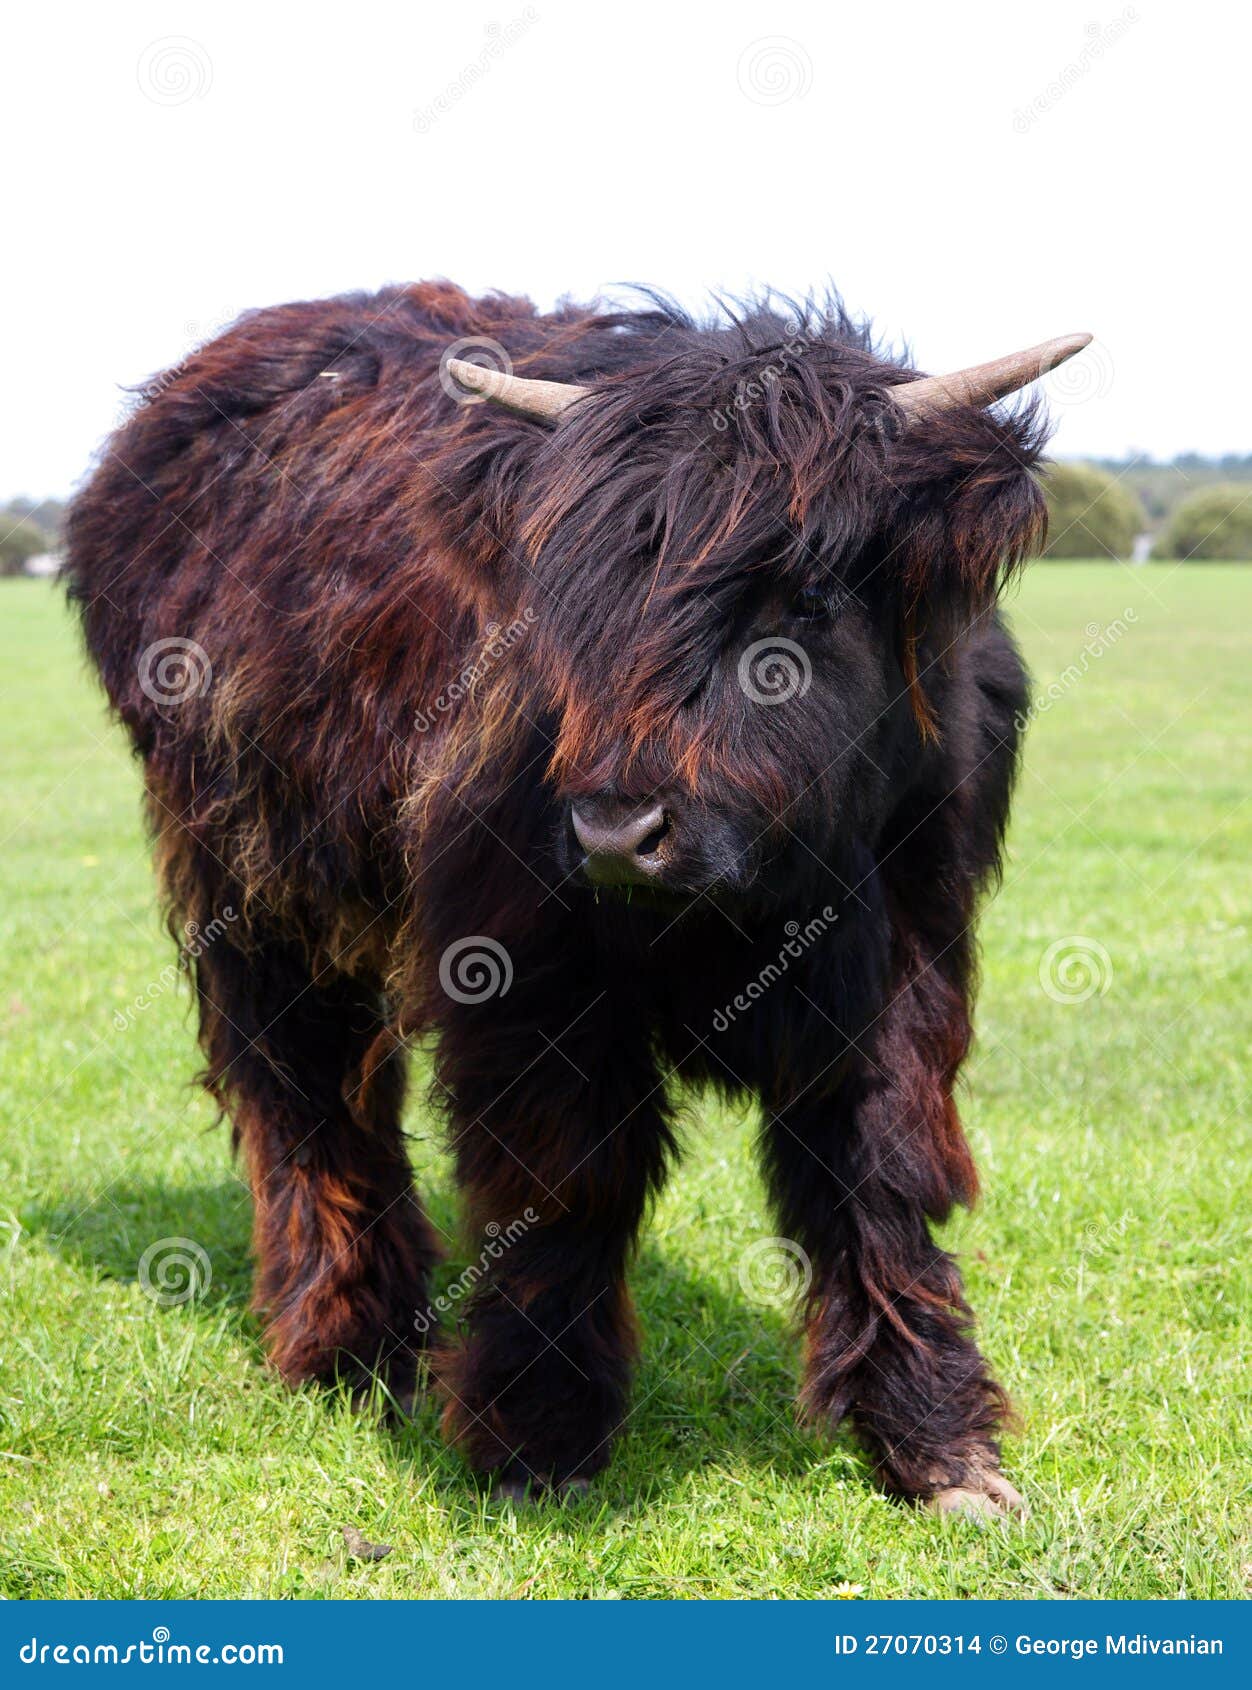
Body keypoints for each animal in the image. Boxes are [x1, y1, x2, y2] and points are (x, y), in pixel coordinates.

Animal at [65, 282, 1090, 1518]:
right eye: (574, 590)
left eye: (805, 593)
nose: (615, 831)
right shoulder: (525, 976)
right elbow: (567, 1184)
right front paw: (537, 1448)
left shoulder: (904, 967)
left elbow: (882, 1178)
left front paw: (940, 1448)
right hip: (250, 885)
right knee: (303, 1089)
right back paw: (350, 1348)